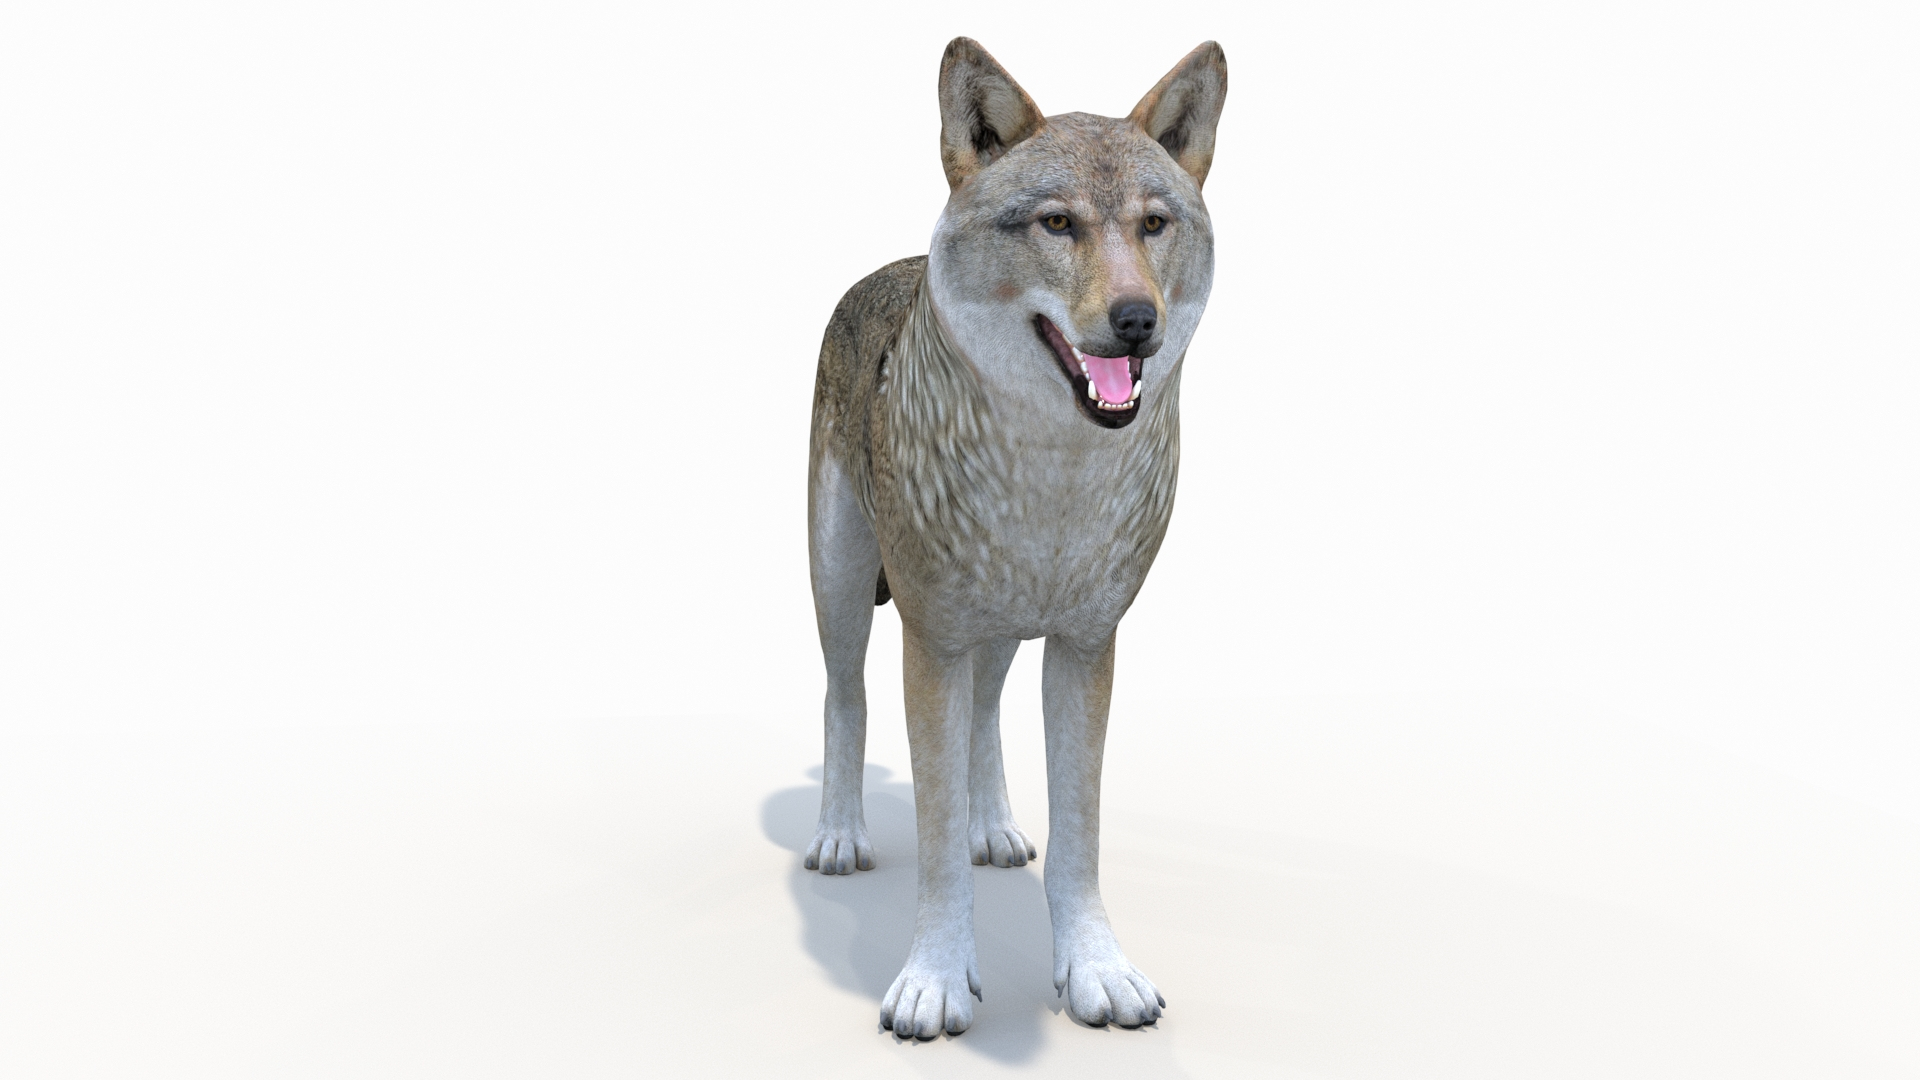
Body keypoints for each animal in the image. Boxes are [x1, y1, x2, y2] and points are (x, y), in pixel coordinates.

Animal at [805, 37, 1227, 1037]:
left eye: (1154, 224)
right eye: (1057, 224)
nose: (1137, 321)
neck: (1052, 483)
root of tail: (886, 269)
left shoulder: (1085, 644)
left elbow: (1080, 832)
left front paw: (1096, 972)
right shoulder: (930, 641)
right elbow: (930, 837)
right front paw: (933, 981)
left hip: (994, 631)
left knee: (988, 711)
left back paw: (992, 827)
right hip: (841, 585)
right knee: (845, 697)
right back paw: (839, 836)